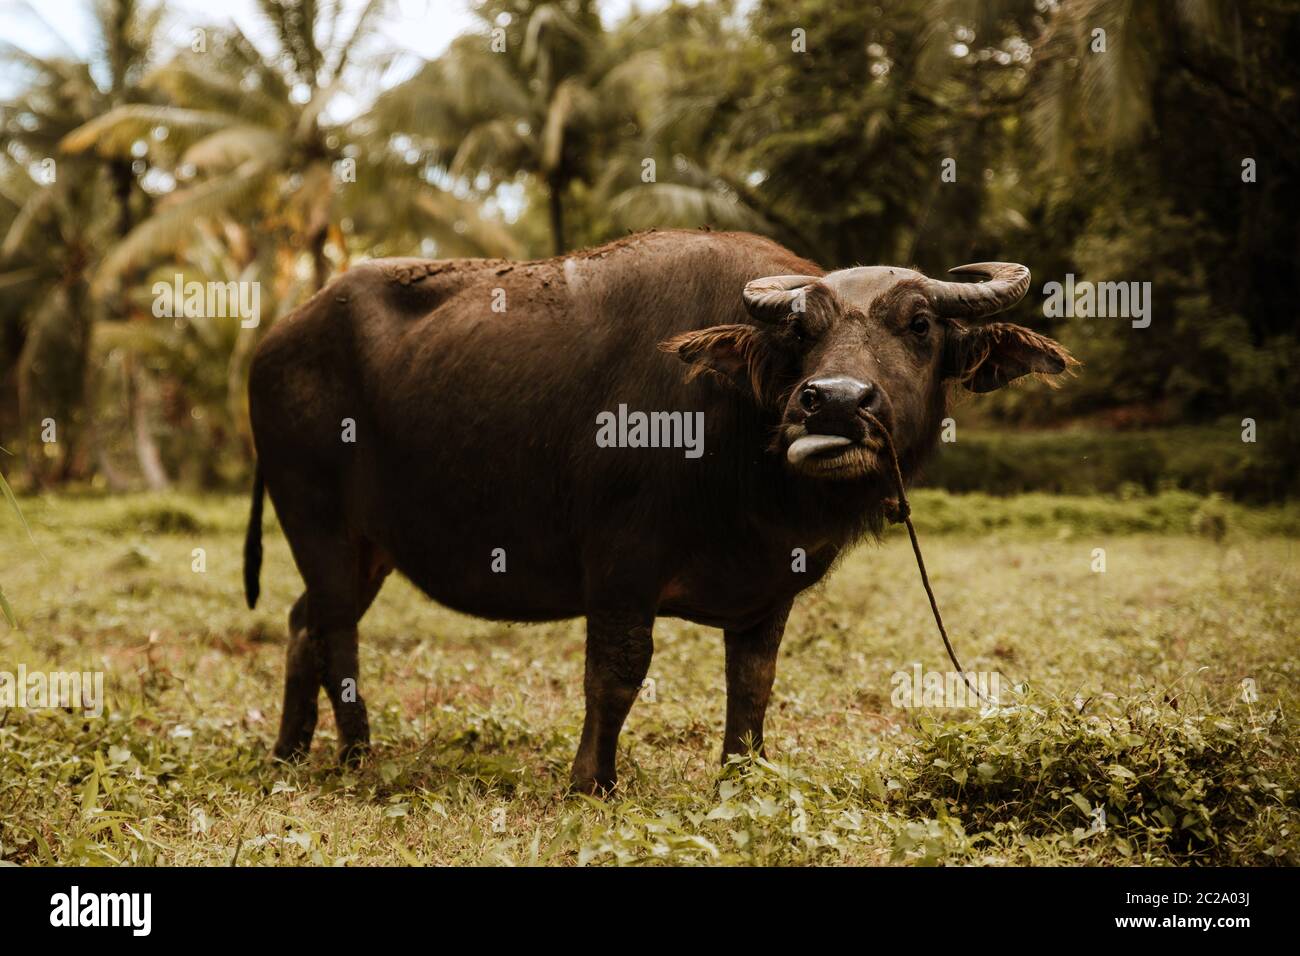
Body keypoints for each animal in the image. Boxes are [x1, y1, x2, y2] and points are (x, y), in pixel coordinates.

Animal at [244, 229, 1073, 793]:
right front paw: (592, 781)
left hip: (367, 546)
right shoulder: (620, 568)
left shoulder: (771, 590)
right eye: (803, 332)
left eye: (920, 324)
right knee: (334, 632)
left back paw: (298, 751)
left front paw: (743, 775)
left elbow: (753, 682)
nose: (835, 401)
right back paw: (352, 754)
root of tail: (275, 342)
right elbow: (617, 672)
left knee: (305, 623)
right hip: (317, 522)